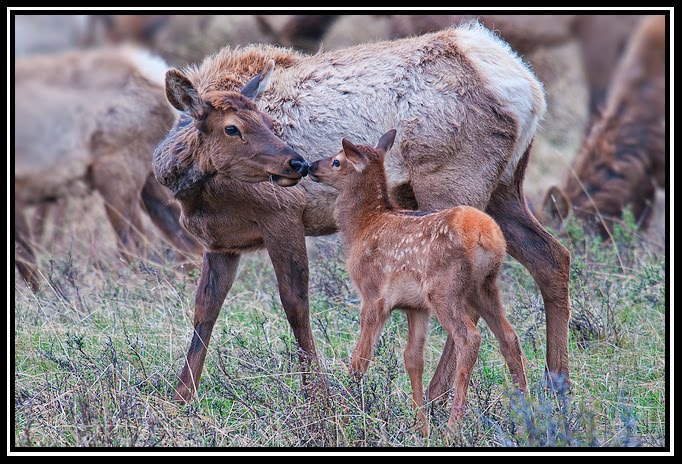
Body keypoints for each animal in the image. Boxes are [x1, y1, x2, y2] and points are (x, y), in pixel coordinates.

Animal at [153, 22, 570, 404]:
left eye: (270, 123)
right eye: (232, 128)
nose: (298, 163)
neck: (196, 193)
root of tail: (530, 92)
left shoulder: (281, 214)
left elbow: (295, 304)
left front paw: (317, 396)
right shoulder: (221, 241)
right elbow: (205, 310)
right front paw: (181, 399)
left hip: (452, 185)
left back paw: (435, 396)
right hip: (503, 188)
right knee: (552, 257)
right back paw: (556, 385)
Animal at [307, 130, 527, 435]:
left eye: (337, 161)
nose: (310, 166)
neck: (364, 226)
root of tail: (486, 235)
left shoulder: (373, 295)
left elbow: (361, 357)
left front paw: (346, 409)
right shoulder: (416, 307)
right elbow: (413, 359)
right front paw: (420, 426)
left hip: (445, 290)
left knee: (469, 337)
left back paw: (453, 427)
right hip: (485, 288)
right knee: (509, 337)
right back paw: (530, 416)